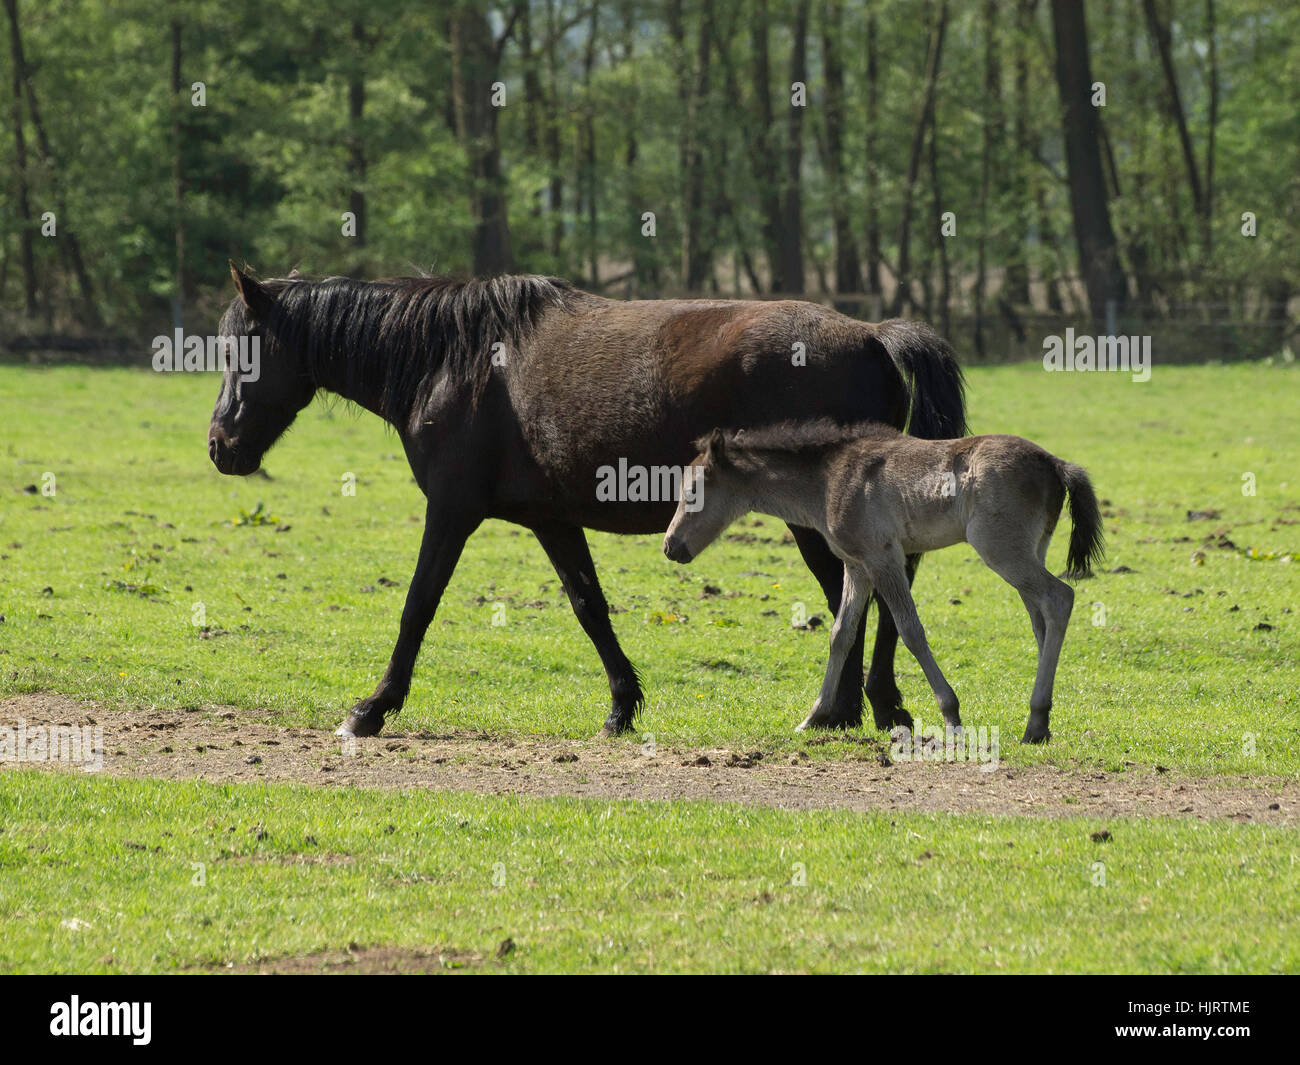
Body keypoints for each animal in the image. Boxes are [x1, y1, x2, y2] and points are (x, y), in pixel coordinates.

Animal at [207, 264, 967, 739]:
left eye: (244, 348)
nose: (220, 444)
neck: (452, 362)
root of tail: (869, 335)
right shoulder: (551, 519)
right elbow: (588, 606)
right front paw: (622, 706)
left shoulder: (451, 512)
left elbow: (417, 606)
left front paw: (373, 707)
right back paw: (870, 706)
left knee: (864, 592)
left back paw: (856, 707)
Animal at [663, 420, 1103, 743]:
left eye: (694, 489)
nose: (671, 546)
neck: (829, 478)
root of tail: (1054, 463)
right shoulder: (856, 567)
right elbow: (840, 634)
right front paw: (813, 718)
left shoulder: (884, 559)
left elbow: (910, 630)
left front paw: (952, 716)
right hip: (1029, 551)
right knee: (1041, 617)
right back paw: (1040, 723)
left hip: (1001, 550)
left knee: (1059, 597)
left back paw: (1035, 722)